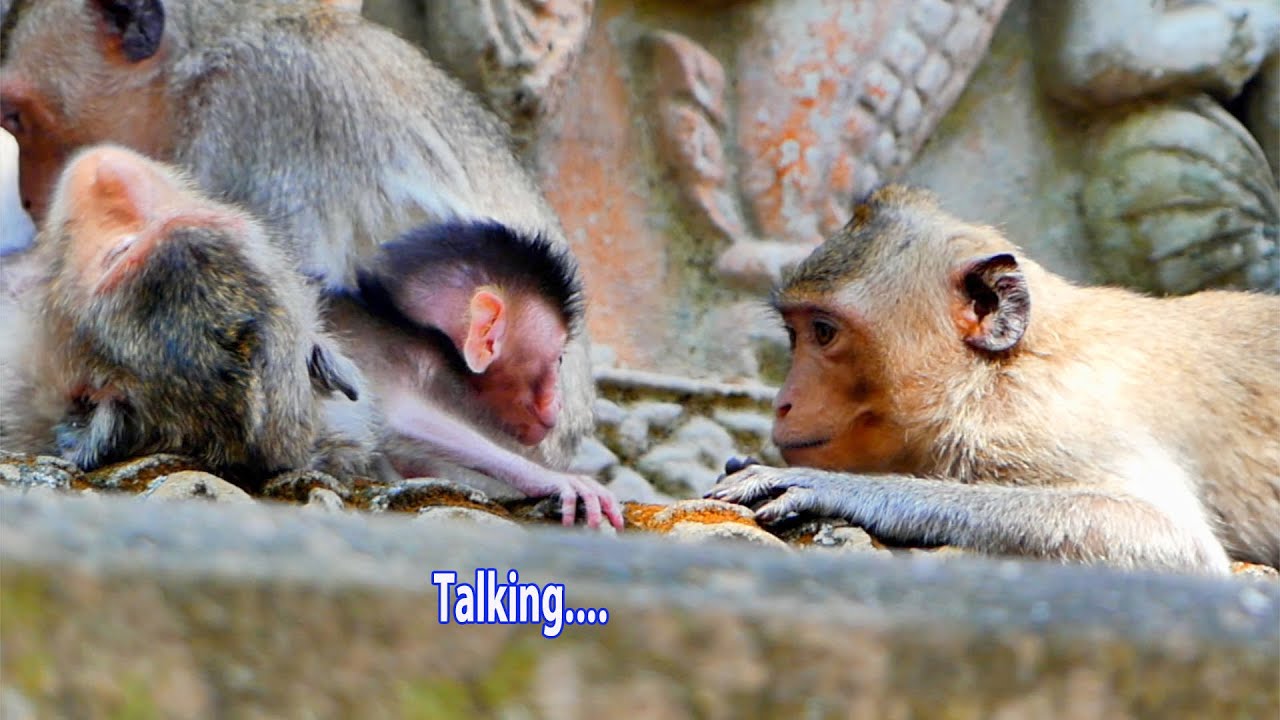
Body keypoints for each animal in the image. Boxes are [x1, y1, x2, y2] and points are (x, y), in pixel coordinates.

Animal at [706, 185, 1280, 575]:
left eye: (824, 332)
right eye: (794, 333)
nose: (783, 402)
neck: (995, 369)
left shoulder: (1038, 420)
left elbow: (1169, 541)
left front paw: (832, 488)